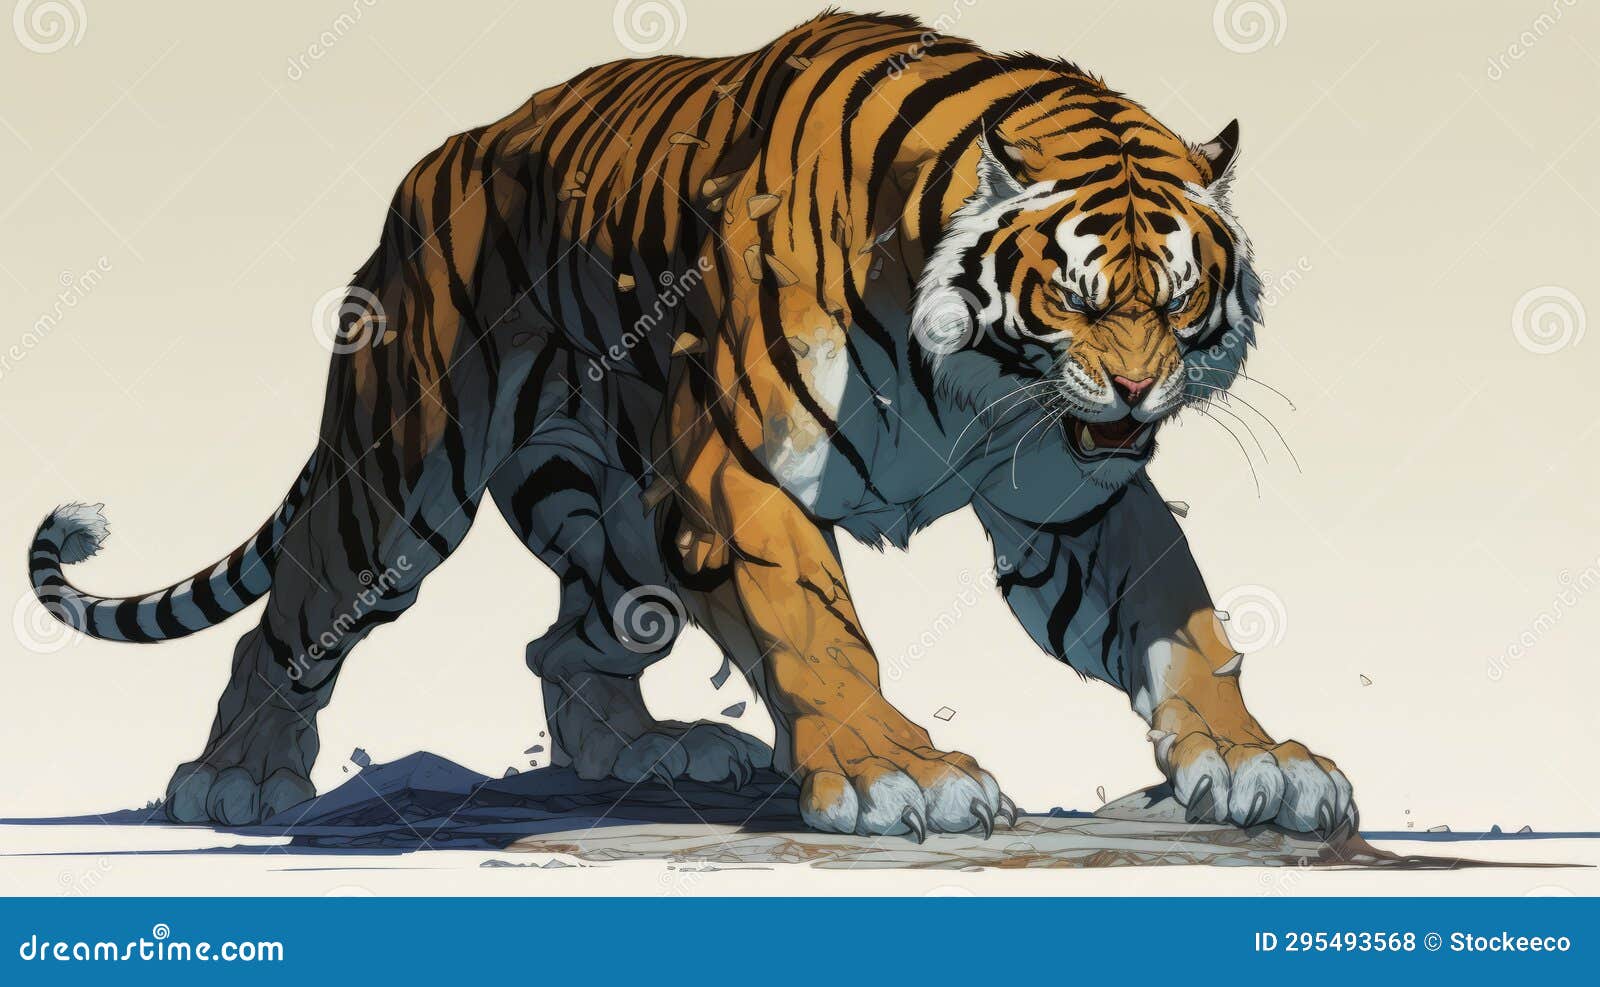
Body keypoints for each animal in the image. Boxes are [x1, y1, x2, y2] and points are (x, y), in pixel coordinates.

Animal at [29, 10, 1356, 840]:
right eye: (1075, 300)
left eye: (1178, 302)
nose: (1135, 395)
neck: (977, 385)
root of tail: (435, 166)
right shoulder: (743, 477)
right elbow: (820, 629)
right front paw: (895, 776)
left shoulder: (1069, 498)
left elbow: (1177, 621)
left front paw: (1257, 764)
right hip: (402, 489)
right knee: (293, 624)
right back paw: (232, 781)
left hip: (628, 537)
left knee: (562, 647)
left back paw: (656, 754)